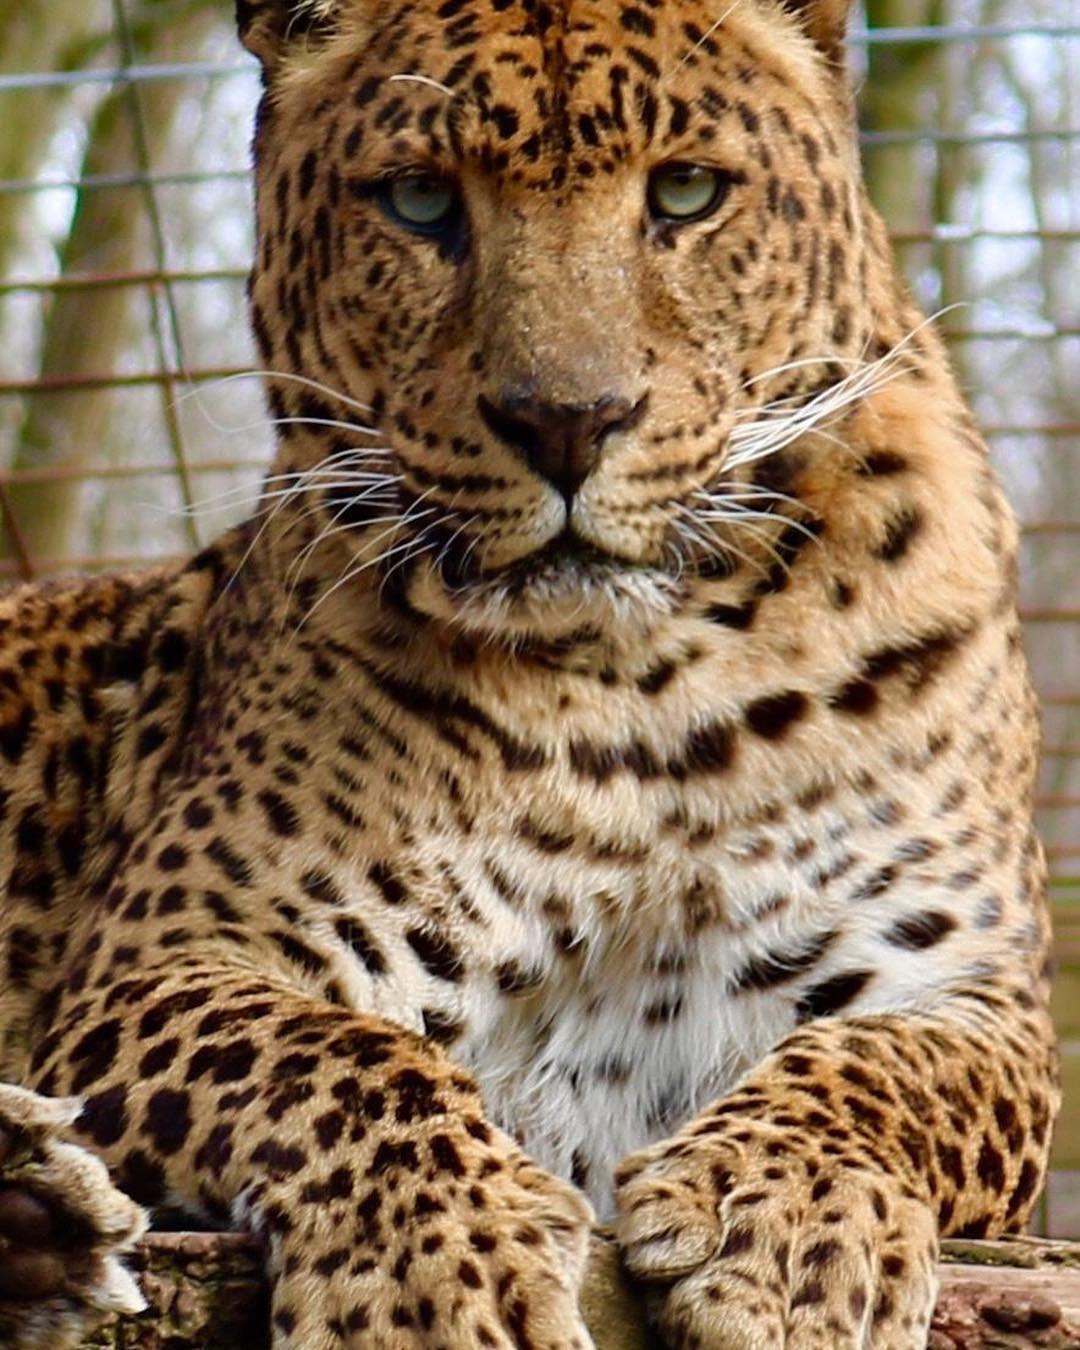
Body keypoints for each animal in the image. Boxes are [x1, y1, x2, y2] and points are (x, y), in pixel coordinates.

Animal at [0, 0, 1060, 1346]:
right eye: (418, 201)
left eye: (687, 191)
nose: (568, 420)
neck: (645, 688)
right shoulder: (162, 961)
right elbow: (343, 1060)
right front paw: (426, 1277)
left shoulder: (977, 993)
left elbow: (887, 1074)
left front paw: (795, 1230)